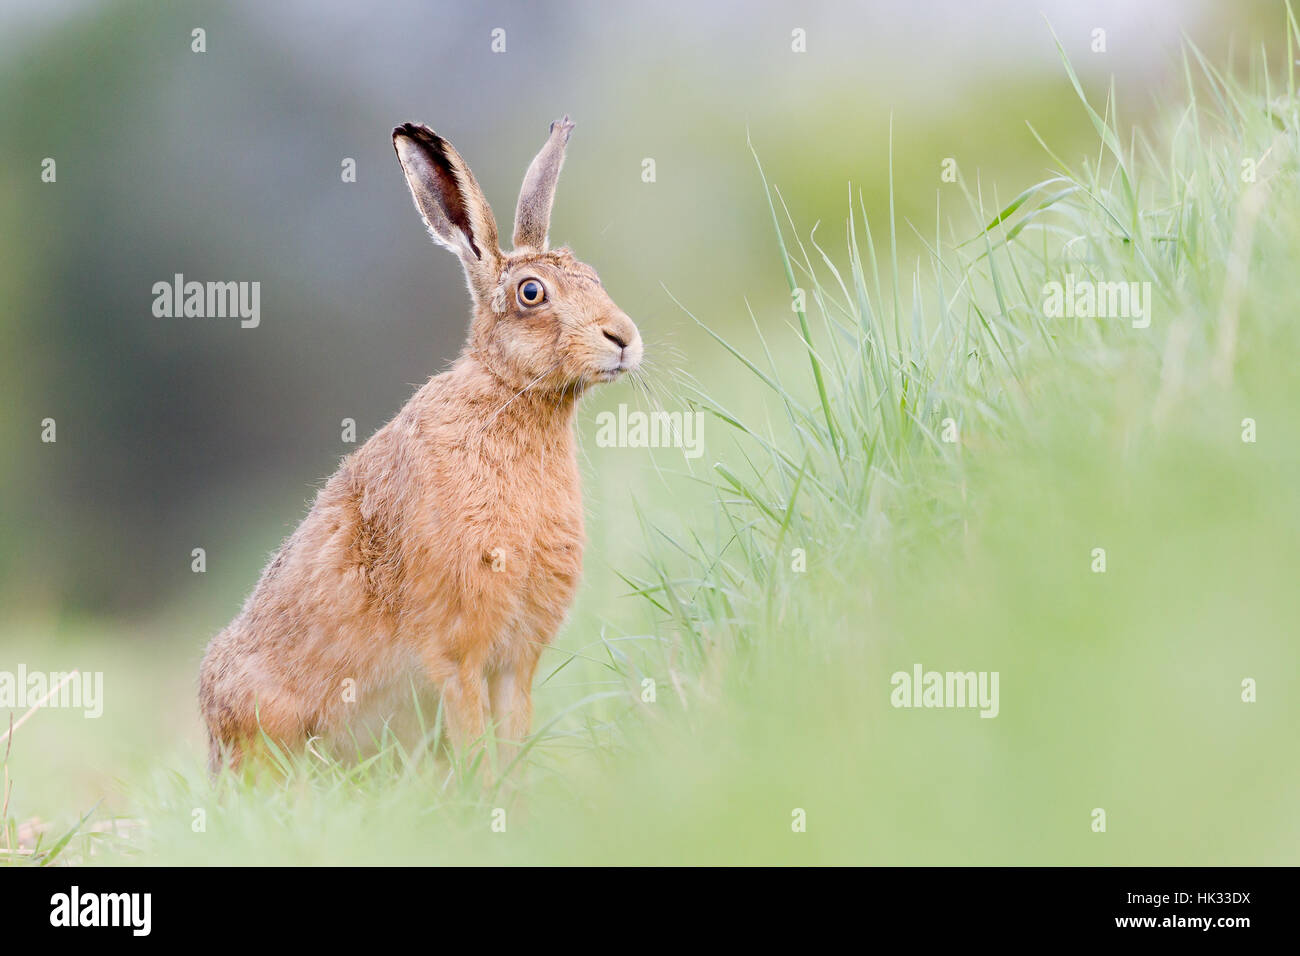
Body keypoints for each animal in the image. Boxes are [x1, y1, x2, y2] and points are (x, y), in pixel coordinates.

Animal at [199, 116, 642, 774]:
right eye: (531, 293)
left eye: (592, 276)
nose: (624, 338)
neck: (509, 396)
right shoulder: (457, 652)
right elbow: (475, 739)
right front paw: (485, 794)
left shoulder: (515, 662)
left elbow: (512, 740)